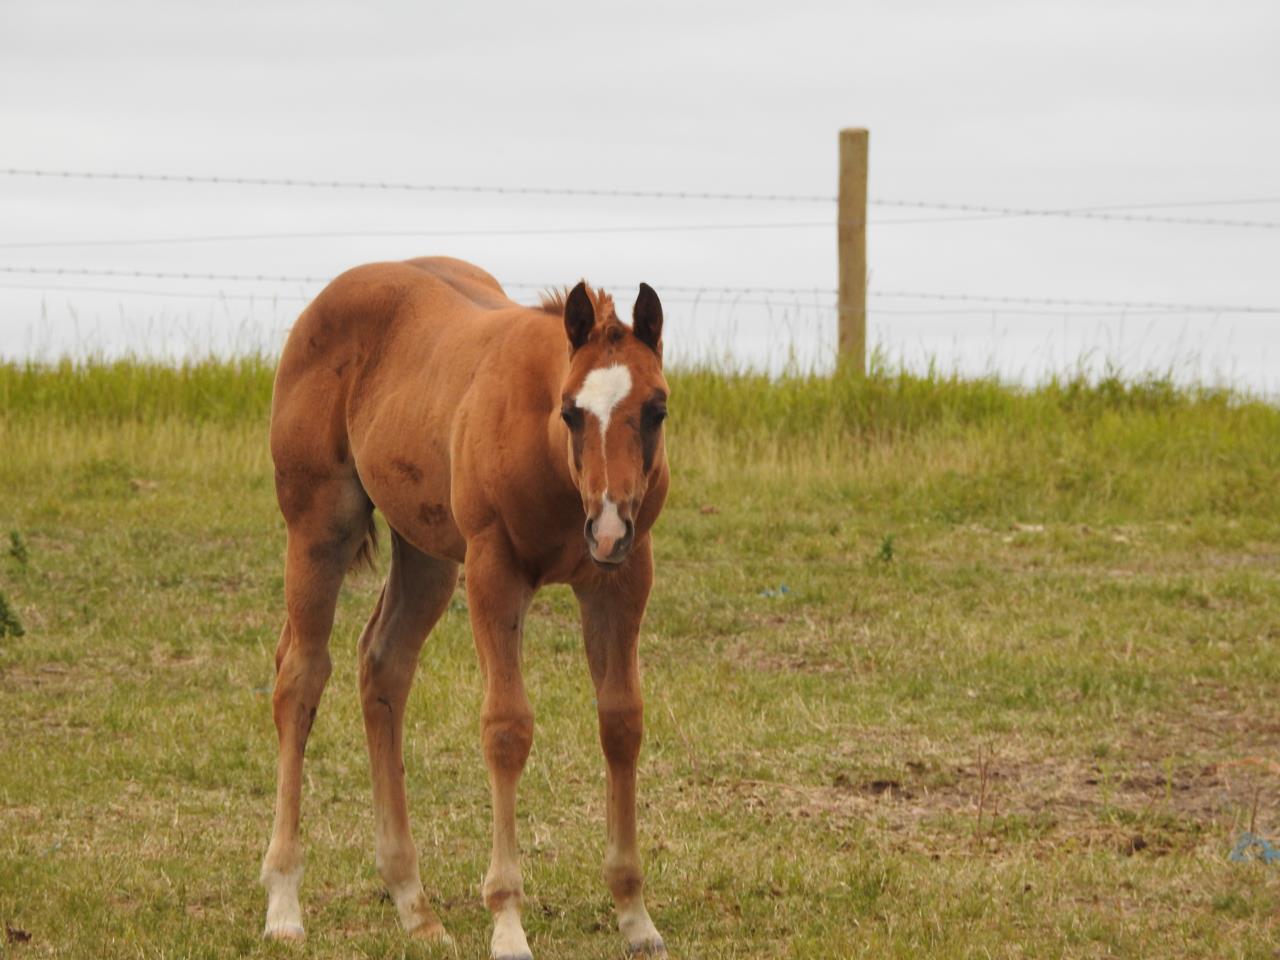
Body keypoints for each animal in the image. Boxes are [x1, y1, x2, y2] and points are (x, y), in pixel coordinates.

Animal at [260, 256, 671, 959]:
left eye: (657, 409)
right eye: (571, 413)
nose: (609, 525)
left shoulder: (620, 579)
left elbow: (621, 722)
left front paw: (635, 917)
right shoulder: (493, 570)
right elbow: (506, 728)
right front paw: (507, 922)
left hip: (427, 554)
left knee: (384, 666)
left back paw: (414, 906)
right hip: (320, 526)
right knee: (302, 677)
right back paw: (284, 902)